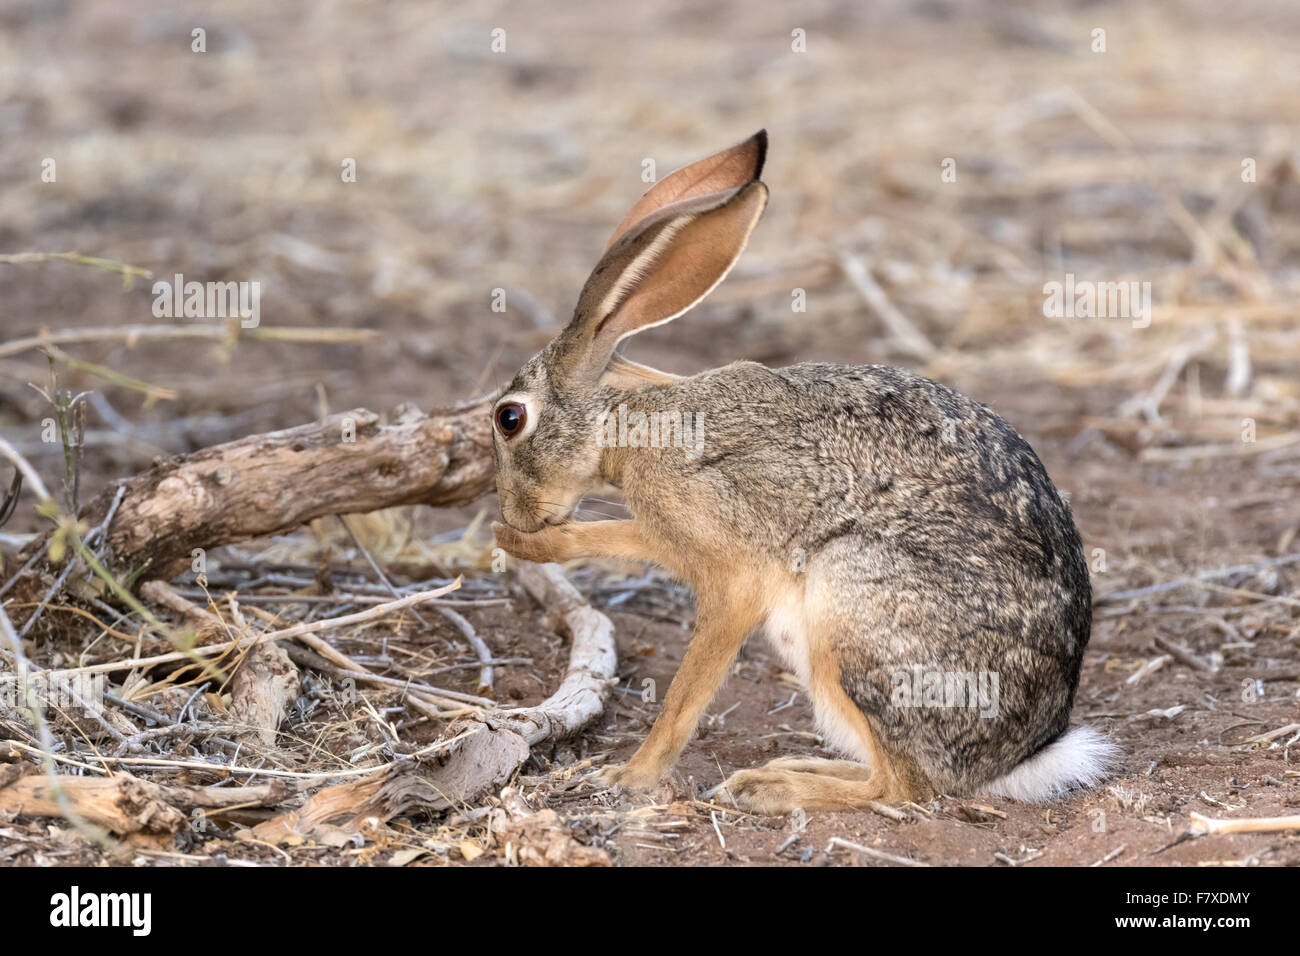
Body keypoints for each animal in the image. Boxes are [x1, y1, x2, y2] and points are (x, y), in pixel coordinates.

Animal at [490, 130, 1119, 813]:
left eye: (508, 419)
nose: (512, 511)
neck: (630, 420)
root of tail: (1018, 758)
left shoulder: (727, 565)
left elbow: (685, 691)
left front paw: (629, 777)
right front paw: (519, 540)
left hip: (852, 604)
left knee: (906, 787)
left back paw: (770, 786)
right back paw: (784, 769)